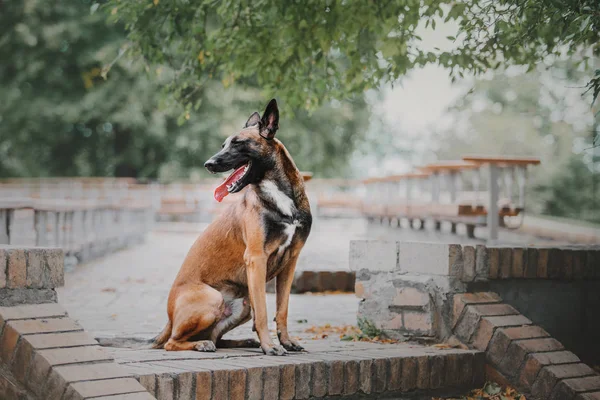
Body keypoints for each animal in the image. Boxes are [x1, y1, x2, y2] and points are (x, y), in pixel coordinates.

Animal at [152, 98, 312, 354]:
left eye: (238, 143)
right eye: (223, 144)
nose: (208, 164)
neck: (278, 196)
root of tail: (169, 318)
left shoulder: (290, 261)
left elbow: (282, 310)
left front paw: (286, 341)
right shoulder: (256, 259)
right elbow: (264, 312)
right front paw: (270, 347)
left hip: (243, 305)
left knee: (218, 337)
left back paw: (242, 342)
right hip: (212, 299)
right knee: (172, 342)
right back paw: (202, 344)